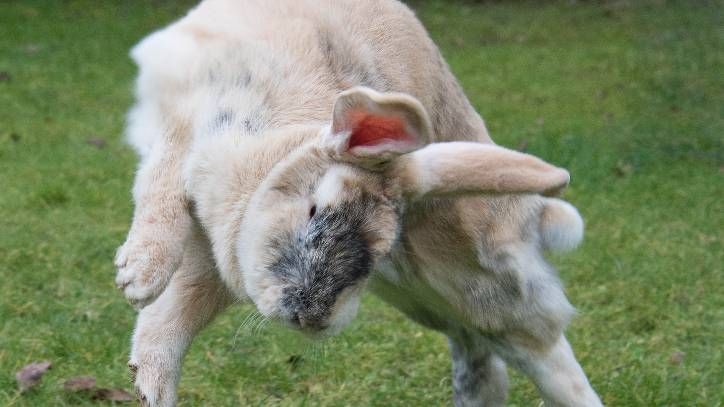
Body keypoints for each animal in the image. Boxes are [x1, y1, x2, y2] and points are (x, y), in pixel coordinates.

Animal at [117, 1, 603, 406]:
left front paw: (135, 291)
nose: (309, 316)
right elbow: (170, 277)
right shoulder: (187, 146)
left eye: (379, 249)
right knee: (479, 357)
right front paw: (141, 292)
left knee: (547, 359)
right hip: (430, 301)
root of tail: (535, 217)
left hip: (485, 289)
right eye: (313, 208)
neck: (269, 152)